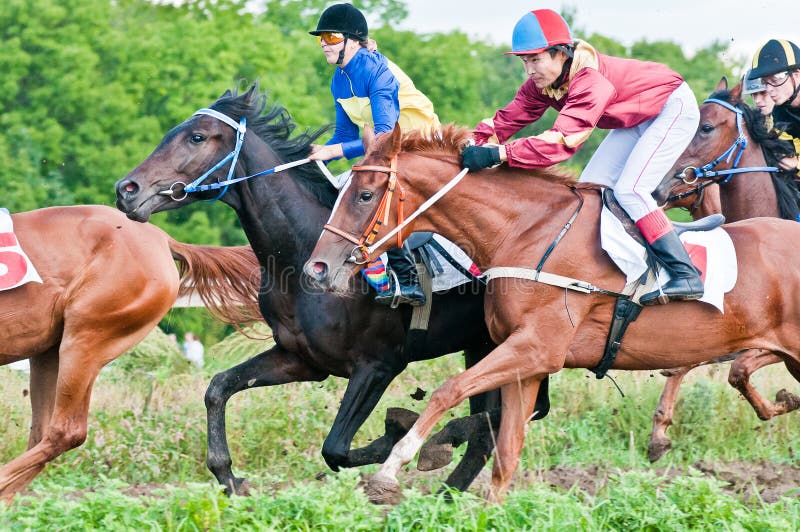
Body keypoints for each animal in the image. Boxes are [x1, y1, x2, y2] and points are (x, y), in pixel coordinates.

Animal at [114, 85, 549, 496]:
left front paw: (399, 432)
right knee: (498, 425)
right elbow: (218, 388)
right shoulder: (301, 359)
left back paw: (442, 451)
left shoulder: (379, 364)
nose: (126, 189)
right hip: (483, 344)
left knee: (506, 417)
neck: (302, 256)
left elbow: (336, 447)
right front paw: (229, 477)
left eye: (197, 137)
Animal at [305, 122, 800, 504]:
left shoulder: (537, 348)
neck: (528, 231)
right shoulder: (525, 364)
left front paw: (391, 470)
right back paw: (779, 402)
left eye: (365, 195)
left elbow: (448, 391)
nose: (317, 268)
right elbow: (506, 453)